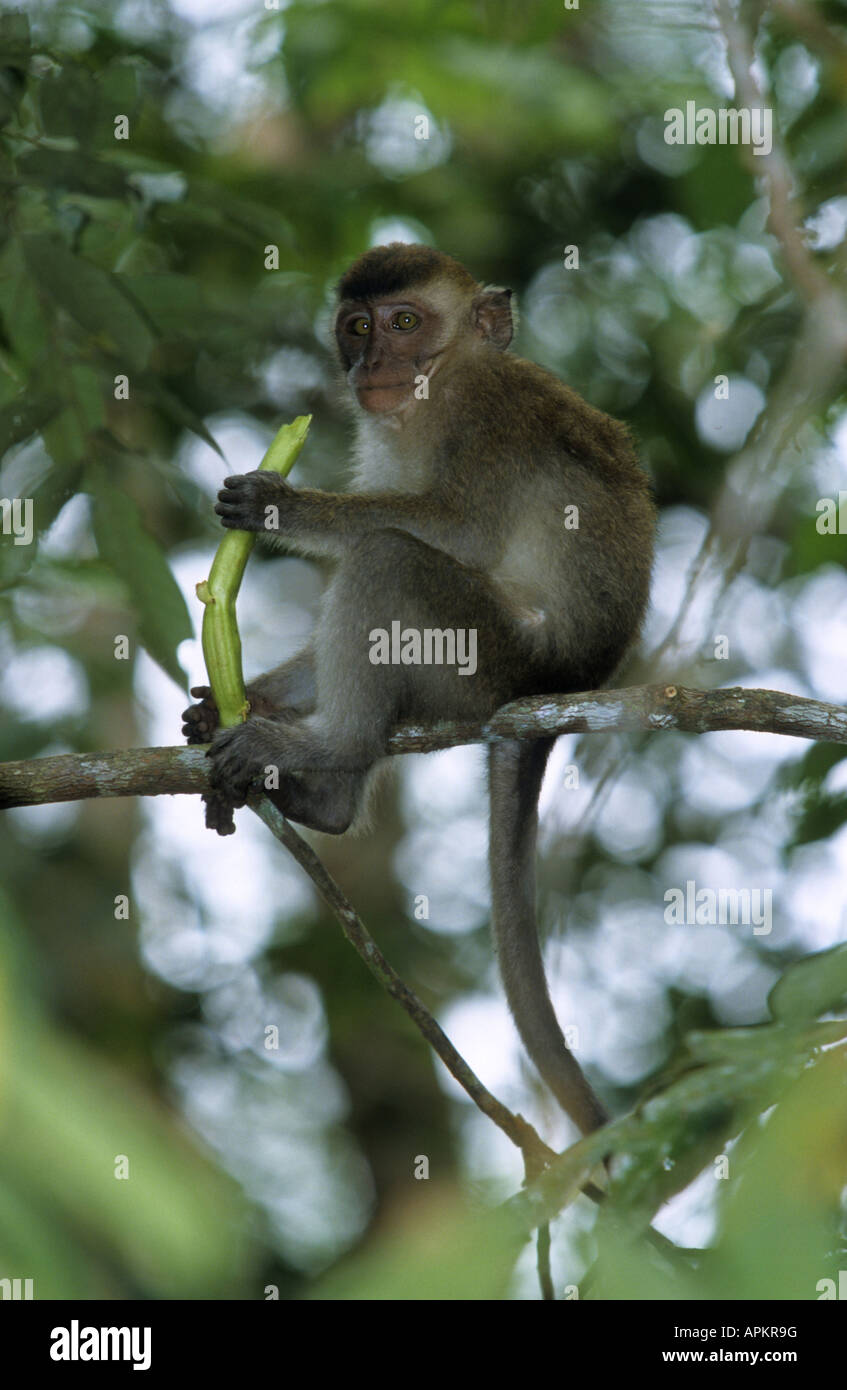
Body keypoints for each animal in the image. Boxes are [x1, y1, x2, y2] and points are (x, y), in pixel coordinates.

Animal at [182, 243, 655, 1138]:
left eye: (405, 322)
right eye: (357, 327)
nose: (374, 363)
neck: (440, 384)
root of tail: (560, 689)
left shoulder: (487, 413)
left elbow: (448, 527)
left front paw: (281, 505)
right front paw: (244, 695)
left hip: (486, 658)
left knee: (389, 559)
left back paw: (332, 749)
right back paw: (318, 787)